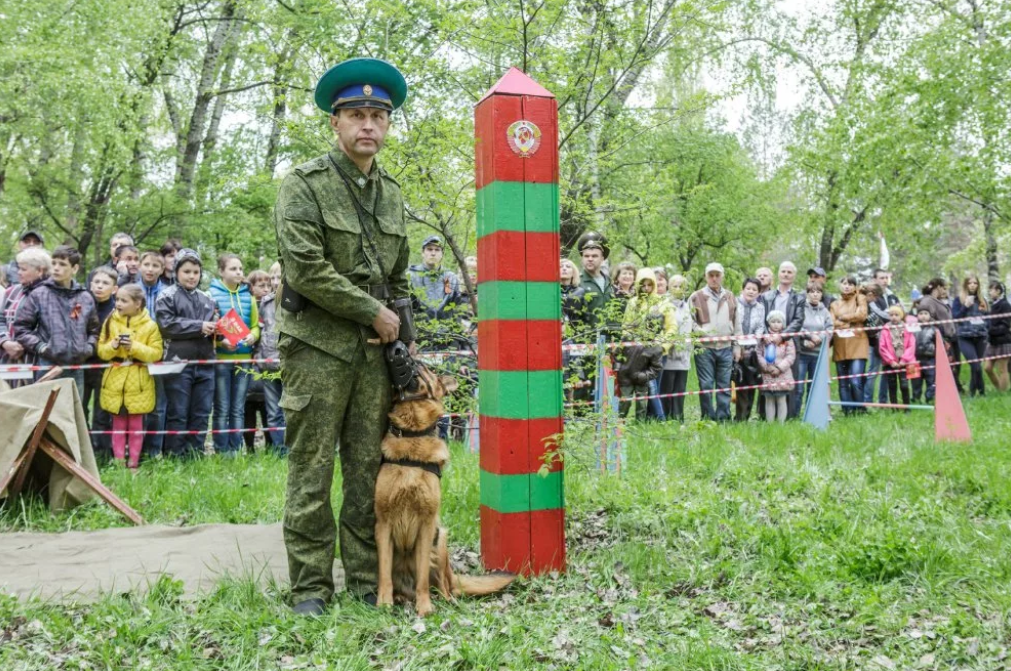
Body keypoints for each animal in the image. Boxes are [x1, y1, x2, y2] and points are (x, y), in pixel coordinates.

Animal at [374, 363, 517, 614]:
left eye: (426, 369)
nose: (414, 360)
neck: (412, 435)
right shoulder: (383, 524)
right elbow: (384, 573)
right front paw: (384, 602)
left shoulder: (426, 526)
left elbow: (422, 576)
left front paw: (424, 607)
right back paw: (400, 597)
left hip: (440, 541)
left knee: (445, 586)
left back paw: (445, 600)